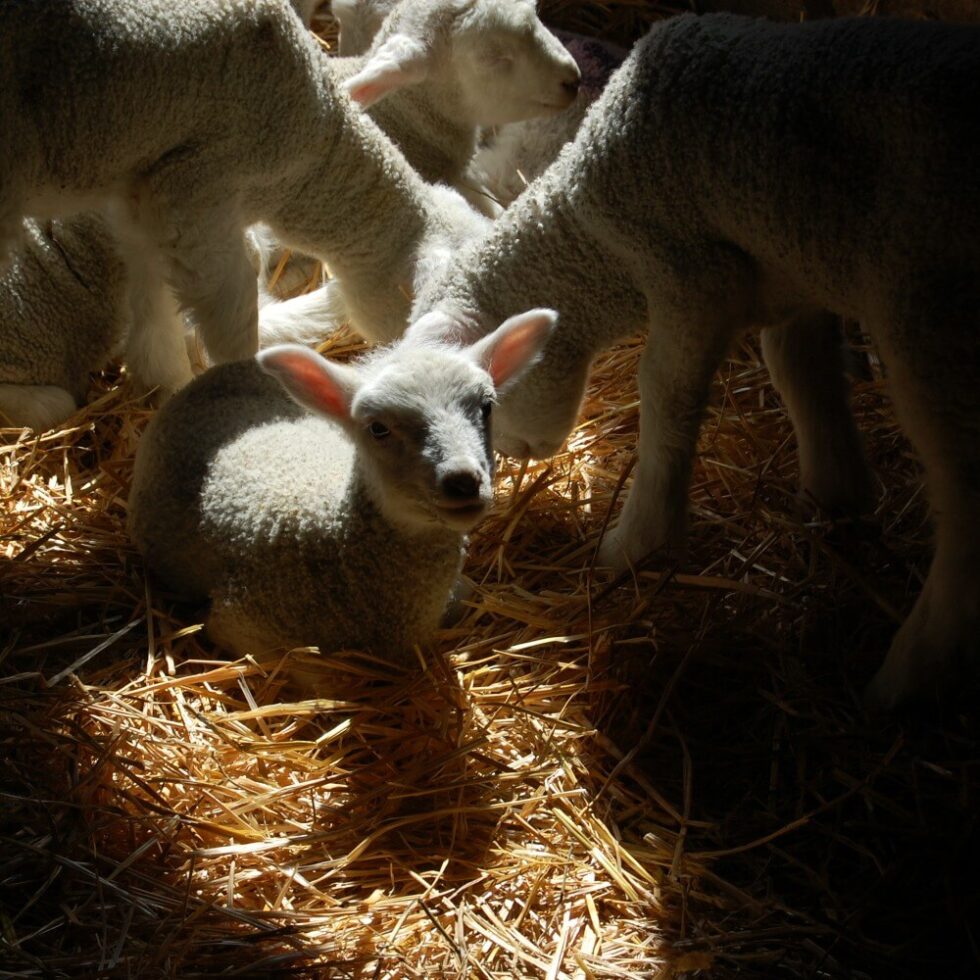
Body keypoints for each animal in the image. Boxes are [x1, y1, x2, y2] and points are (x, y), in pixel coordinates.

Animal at [405, 13, 980, 708]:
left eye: (489, 399)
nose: (516, 458)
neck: (598, 247)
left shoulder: (690, 272)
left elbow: (665, 388)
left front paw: (637, 542)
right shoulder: (790, 260)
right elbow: (795, 365)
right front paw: (835, 486)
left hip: (928, 314)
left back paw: (909, 675)